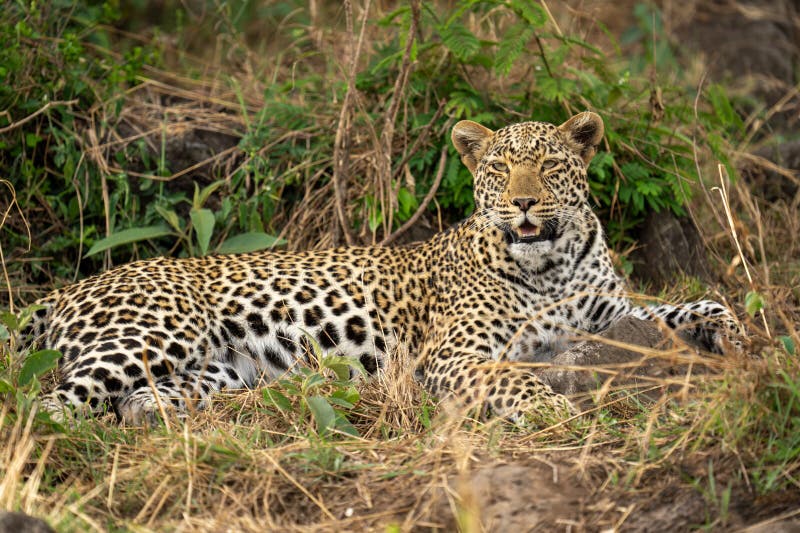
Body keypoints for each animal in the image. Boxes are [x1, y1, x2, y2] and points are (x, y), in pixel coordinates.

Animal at [22, 112, 740, 425]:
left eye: (549, 164)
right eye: (500, 168)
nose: (523, 202)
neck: (552, 265)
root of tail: (71, 286)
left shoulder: (610, 313)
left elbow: (692, 303)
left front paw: (731, 335)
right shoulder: (453, 353)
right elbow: (516, 378)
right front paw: (553, 411)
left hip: (220, 366)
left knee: (136, 398)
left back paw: (157, 415)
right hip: (152, 334)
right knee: (48, 405)